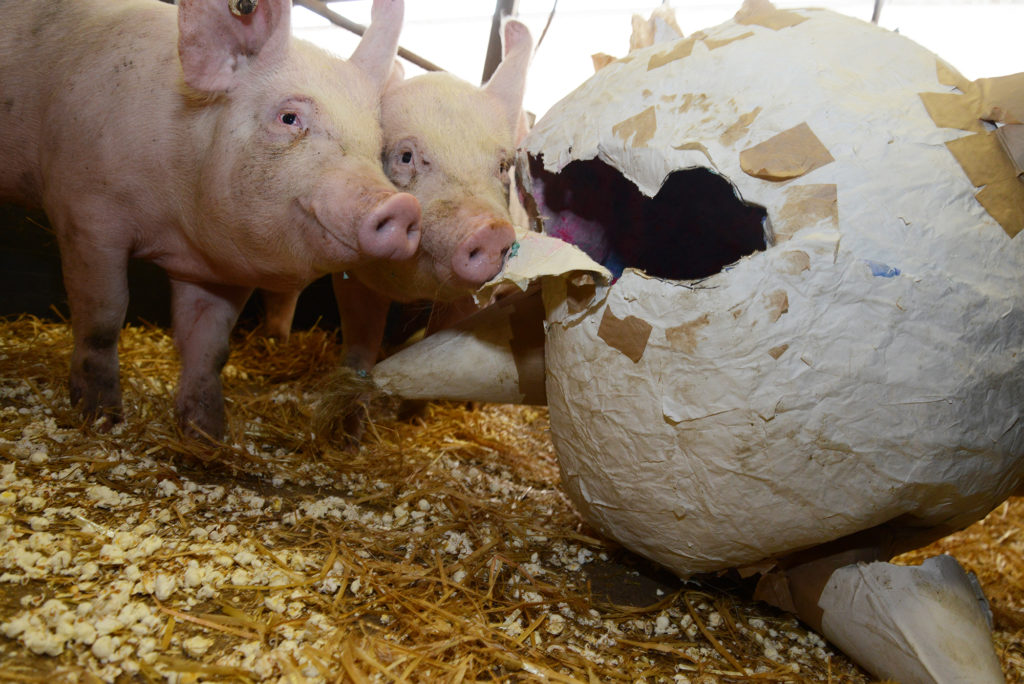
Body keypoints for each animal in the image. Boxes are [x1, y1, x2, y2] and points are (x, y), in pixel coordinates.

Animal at [0, 0, 421, 439]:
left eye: (376, 142)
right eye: (289, 118)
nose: (403, 205)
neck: (171, 228)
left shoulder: (223, 269)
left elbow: (209, 344)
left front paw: (209, 433)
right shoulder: (83, 212)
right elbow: (104, 314)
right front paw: (102, 418)